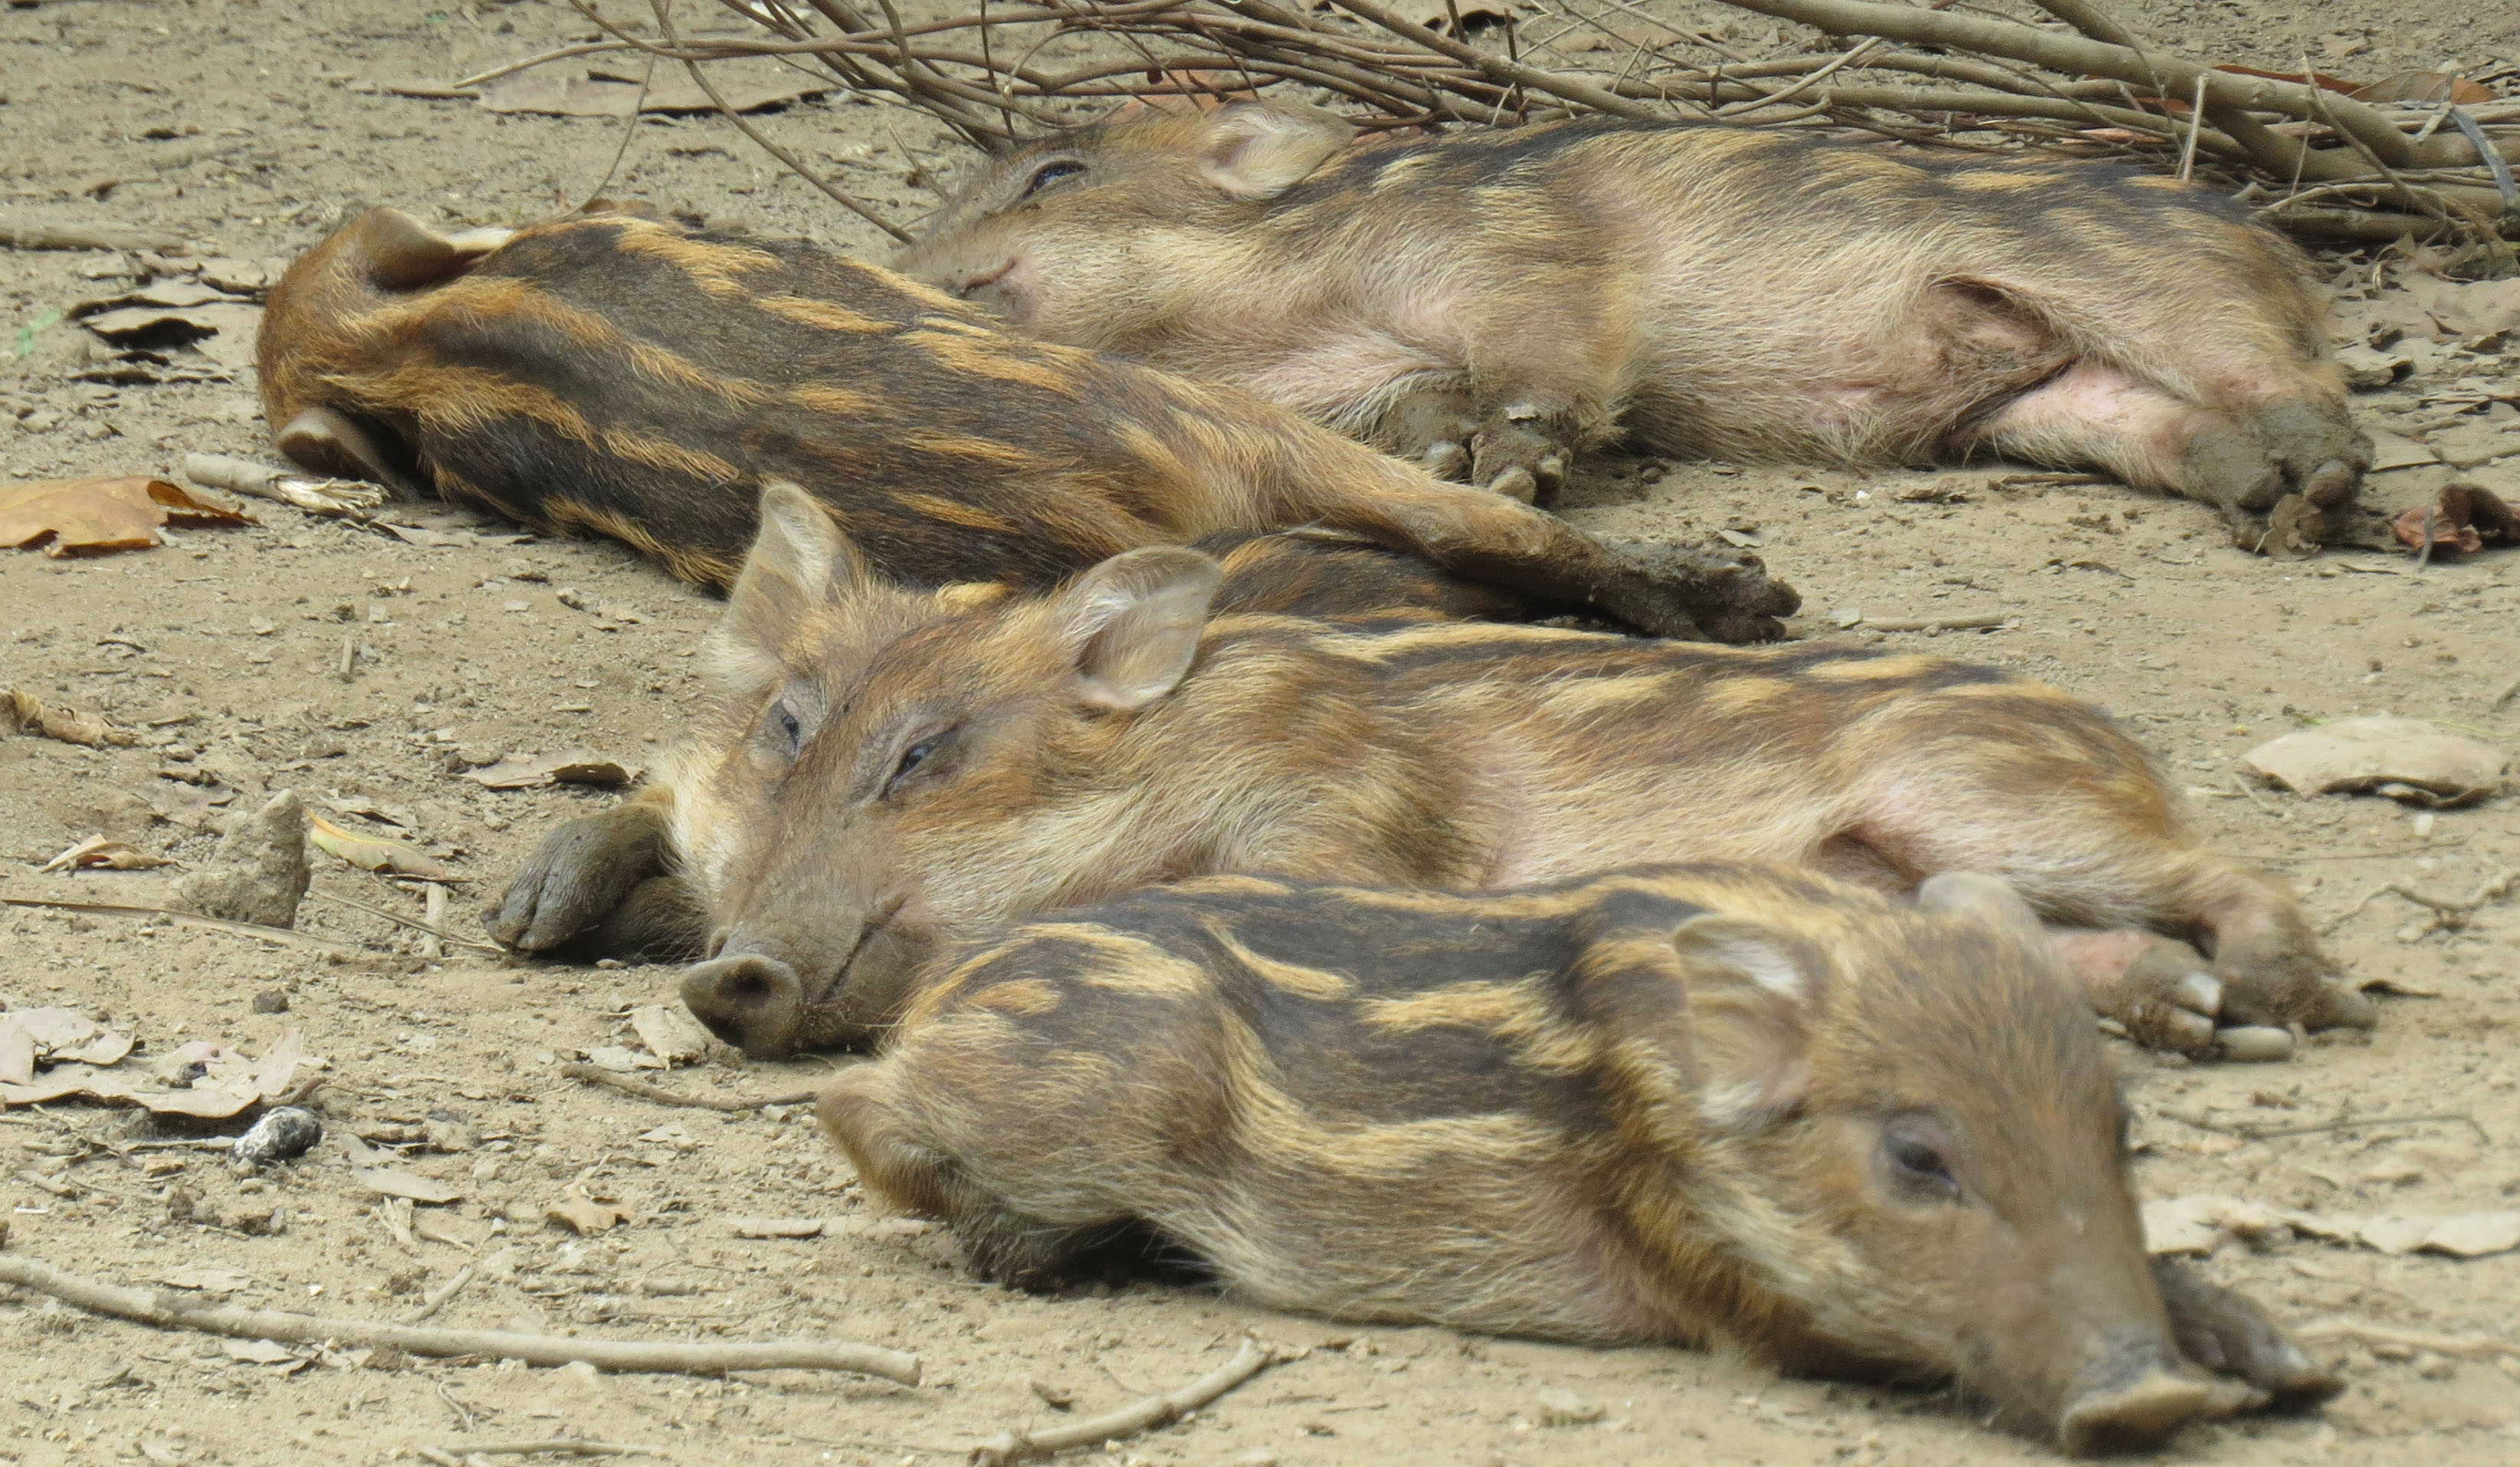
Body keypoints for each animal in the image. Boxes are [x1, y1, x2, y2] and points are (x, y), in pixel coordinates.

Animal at [497, 483, 2373, 1058]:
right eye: (784, 730)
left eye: (929, 753)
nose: (732, 973)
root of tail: (2113, 740)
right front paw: (530, 919)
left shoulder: (1350, 814)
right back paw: (2195, 1015)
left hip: (1999, 796)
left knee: (2225, 875)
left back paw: (2285, 994)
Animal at [819, 863, 2341, 1454]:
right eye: (1918, 1152)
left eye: (2121, 1129)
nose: (2145, 1396)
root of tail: (953, 988)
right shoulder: (1706, 1274)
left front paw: (2286, 1362)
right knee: (851, 1109)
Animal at [894, 105, 2370, 549]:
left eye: (1054, 175)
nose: (901, 270)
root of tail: (2291, 255)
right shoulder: (1373, 377)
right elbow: (1423, 412)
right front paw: (1446, 462)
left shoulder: (1520, 260)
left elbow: (1537, 377)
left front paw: (1510, 476)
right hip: (2057, 403)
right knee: (2183, 433)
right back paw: (2265, 508)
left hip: (2148, 290)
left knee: (2286, 380)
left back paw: (2317, 487)